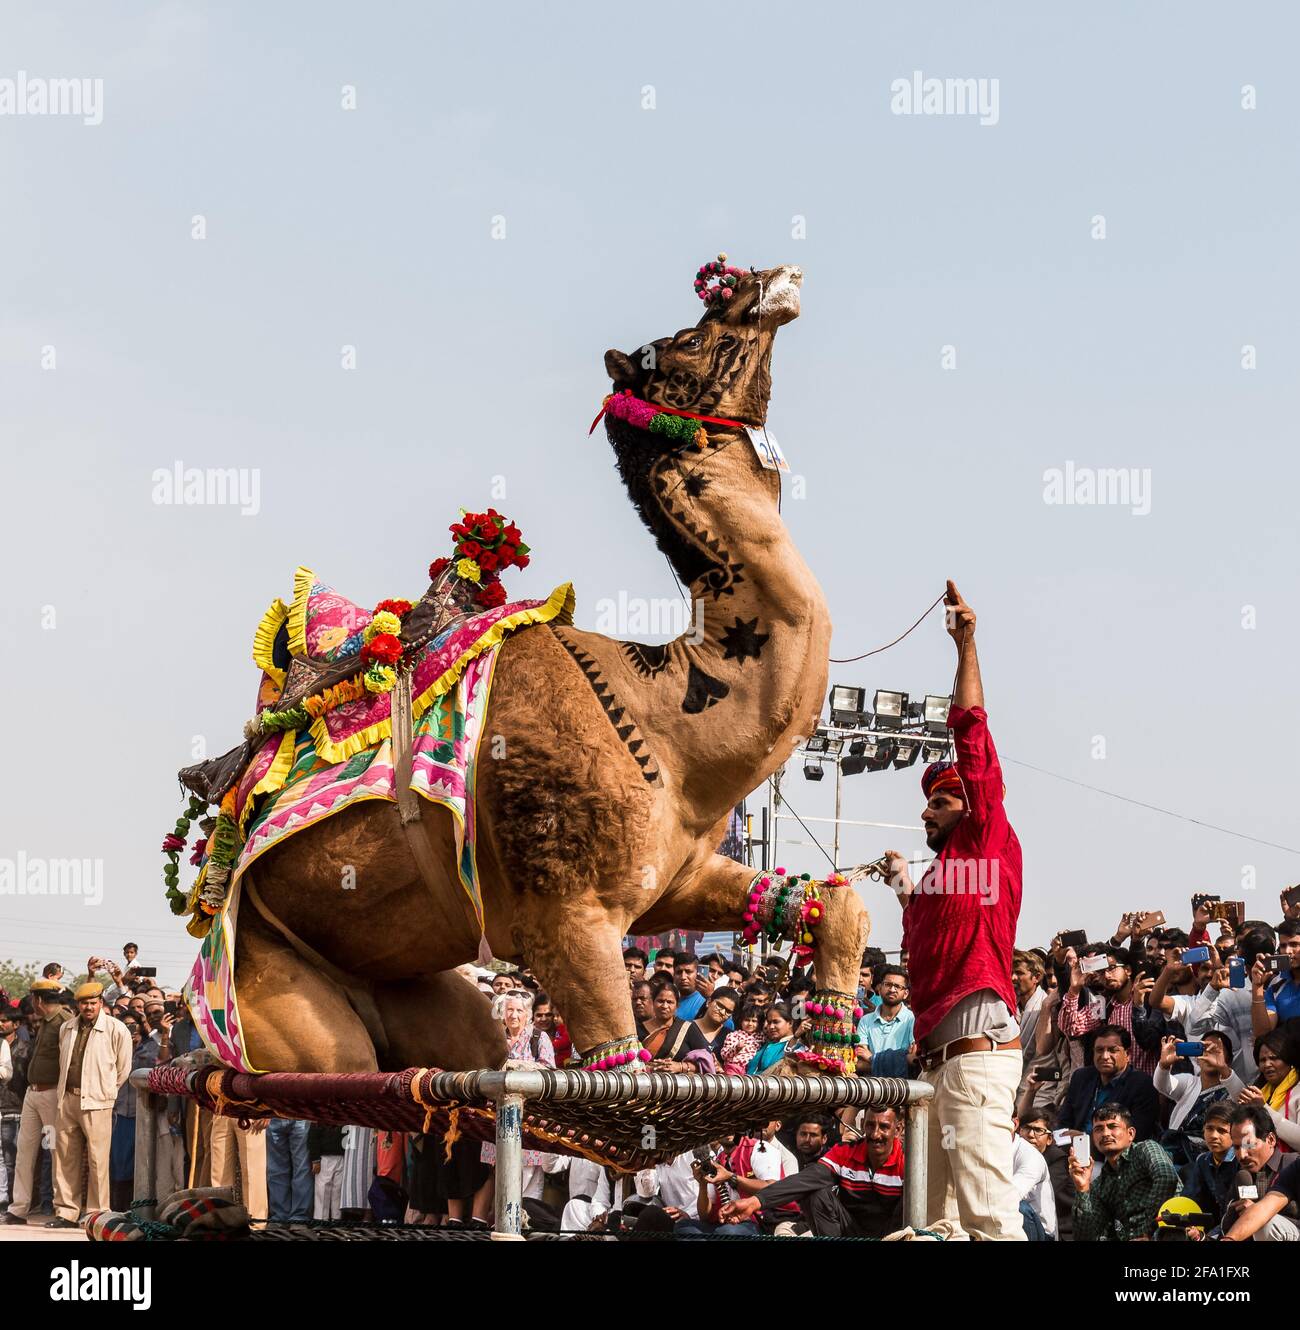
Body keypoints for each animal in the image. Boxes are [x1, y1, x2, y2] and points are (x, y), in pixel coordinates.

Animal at [229, 260, 870, 1074]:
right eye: (692, 337)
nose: (769, 276)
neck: (671, 716)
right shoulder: (569, 917)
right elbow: (623, 1077)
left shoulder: (680, 879)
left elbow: (839, 900)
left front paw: (821, 1054)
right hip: (277, 1003)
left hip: (412, 991)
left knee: (467, 1043)